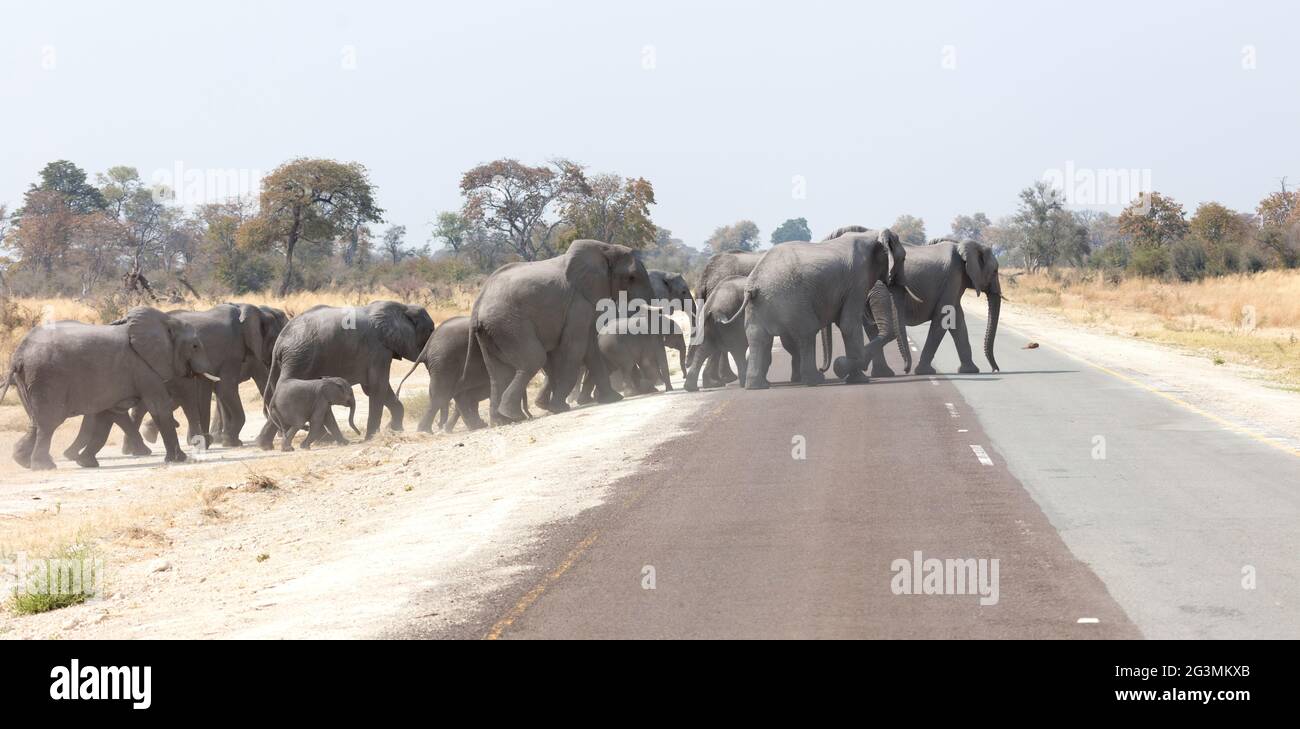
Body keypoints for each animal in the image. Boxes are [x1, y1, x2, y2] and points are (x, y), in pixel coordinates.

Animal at [0, 307, 218, 469]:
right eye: (195, 346)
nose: (199, 444)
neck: (166, 321)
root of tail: (19, 355)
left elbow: (106, 418)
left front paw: (86, 463)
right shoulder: (143, 367)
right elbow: (158, 406)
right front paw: (179, 459)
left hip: (29, 381)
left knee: (36, 422)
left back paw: (23, 461)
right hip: (47, 379)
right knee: (49, 422)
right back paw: (44, 466)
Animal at [255, 301, 434, 447]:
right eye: (430, 331)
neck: (403, 308)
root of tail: (279, 342)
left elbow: (374, 388)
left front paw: (394, 430)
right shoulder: (377, 348)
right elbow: (378, 386)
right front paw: (371, 438)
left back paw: (264, 445)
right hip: (300, 358)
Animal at [470, 239, 656, 424]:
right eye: (631, 277)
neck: (605, 249)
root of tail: (479, 303)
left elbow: (590, 349)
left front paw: (613, 399)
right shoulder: (578, 303)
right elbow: (575, 349)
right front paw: (559, 408)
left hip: (492, 332)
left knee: (498, 374)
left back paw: (501, 420)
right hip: (509, 325)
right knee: (534, 359)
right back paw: (513, 415)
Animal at [732, 229, 913, 389]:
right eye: (904, 259)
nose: (905, 370)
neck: (871, 234)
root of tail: (754, 285)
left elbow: (845, 324)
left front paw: (849, 372)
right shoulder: (857, 280)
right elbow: (848, 325)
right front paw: (854, 376)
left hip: (759, 306)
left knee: (758, 338)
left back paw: (756, 386)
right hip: (791, 299)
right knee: (807, 332)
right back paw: (815, 380)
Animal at [859, 237, 1002, 376]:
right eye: (995, 271)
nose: (995, 369)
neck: (962, 245)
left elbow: (956, 321)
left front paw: (970, 371)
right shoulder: (953, 278)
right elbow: (943, 318)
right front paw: (924, 372)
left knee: (872, 328)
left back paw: (880, 373)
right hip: (882, 293)